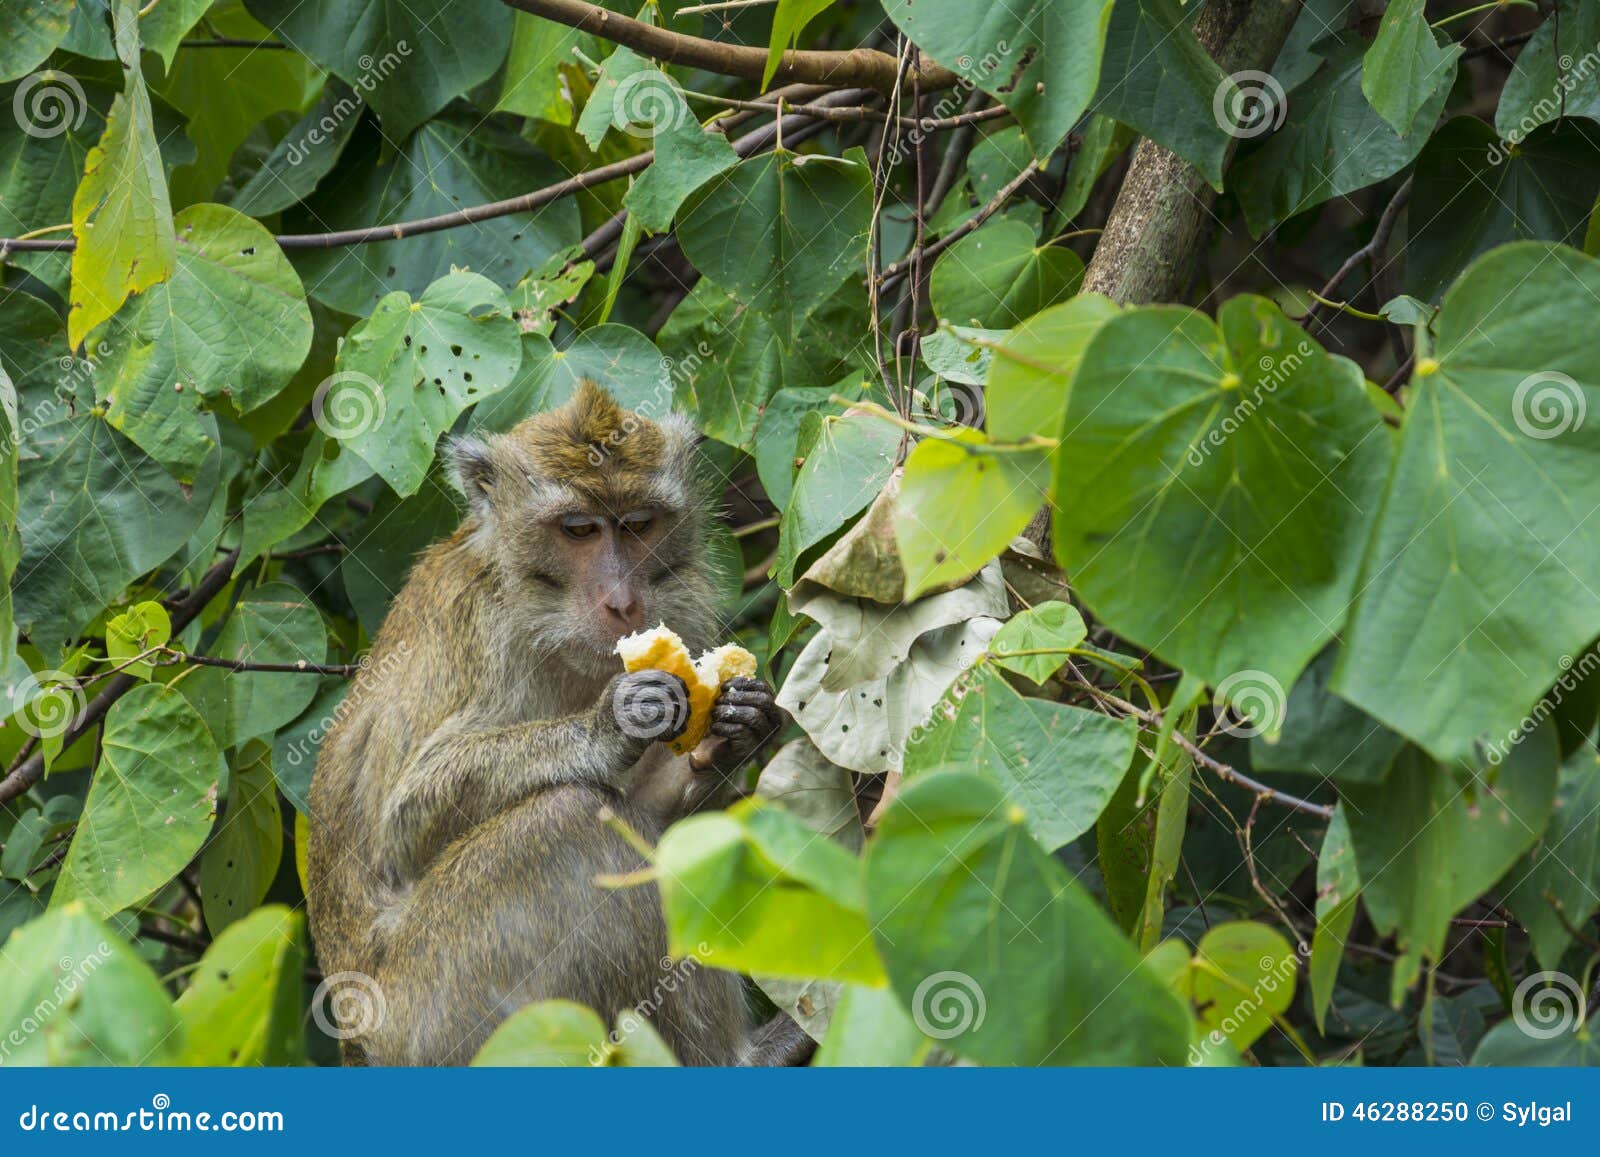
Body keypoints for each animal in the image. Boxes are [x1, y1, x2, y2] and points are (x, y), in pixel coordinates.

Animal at [305, 383, 803, 1066]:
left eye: (639, 524)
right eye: (578, 530)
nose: (622, 601)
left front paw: (737, 730)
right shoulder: (484, 631)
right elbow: (403, 821)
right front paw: (612, 725)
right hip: (438, 1014)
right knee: (568, 820)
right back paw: (736, 1059)